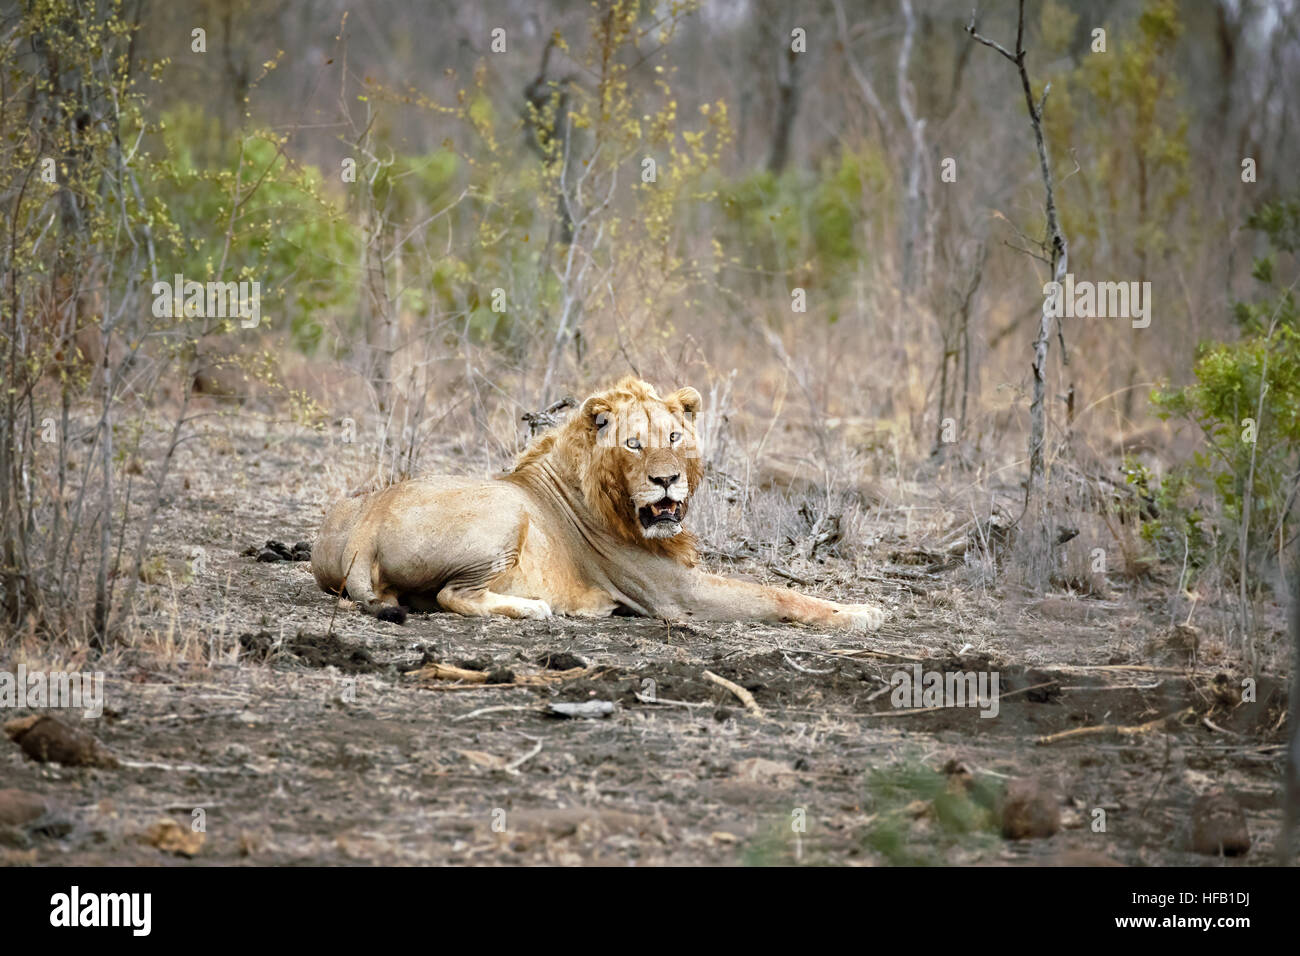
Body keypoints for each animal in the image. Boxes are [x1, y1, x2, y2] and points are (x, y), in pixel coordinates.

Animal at [311, 377, 885, 631]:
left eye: (673, 437)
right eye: (633, 445)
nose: (667, 480)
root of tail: (365, 527)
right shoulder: (676, 594)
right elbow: (777, 595)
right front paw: (864, 613)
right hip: (506, 514)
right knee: (453, 595)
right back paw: (536, 606)